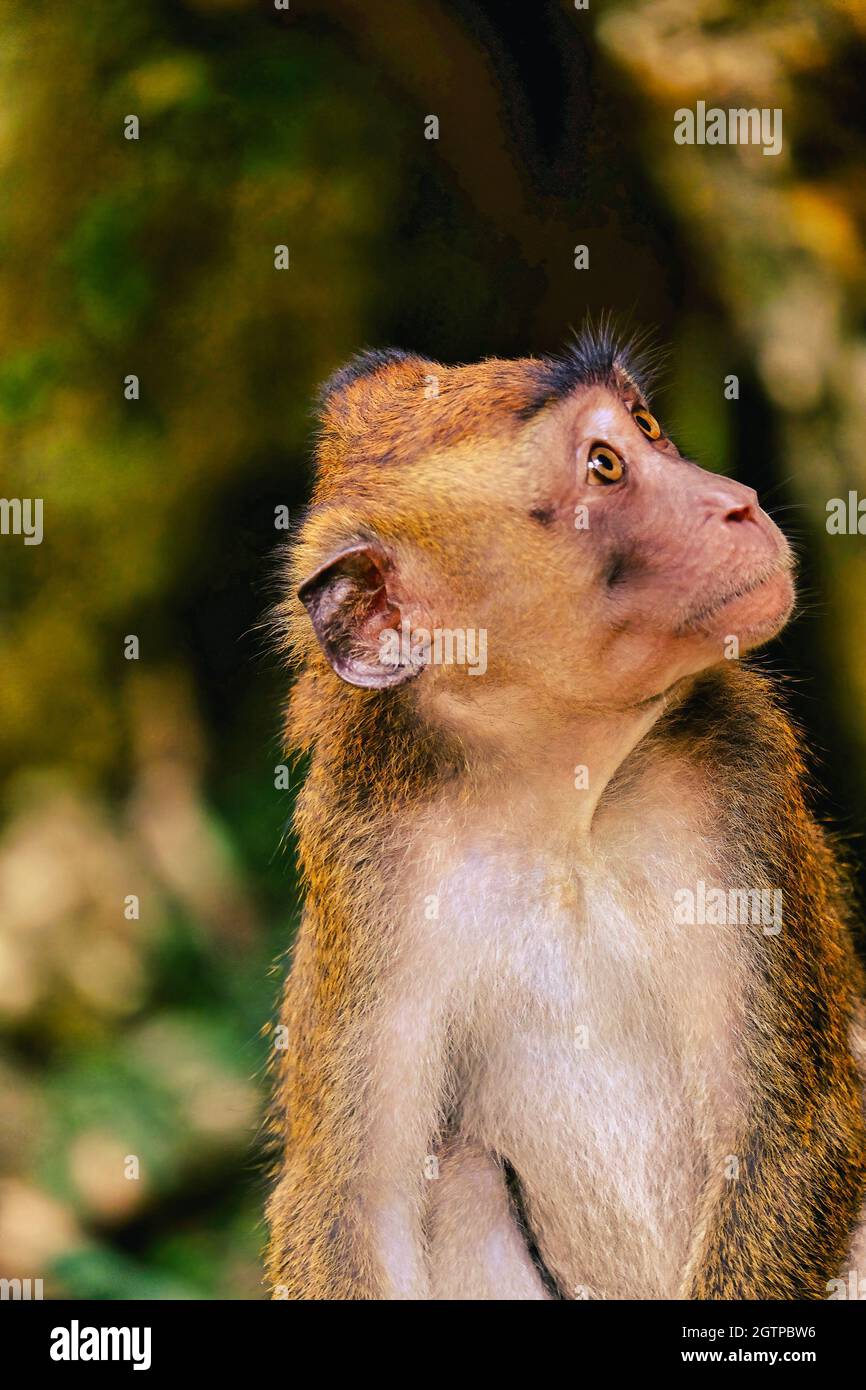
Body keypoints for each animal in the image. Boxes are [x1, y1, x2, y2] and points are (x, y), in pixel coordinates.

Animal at [265, 325, 866, 1300]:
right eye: (604, 466)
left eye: (647, 427)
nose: (736, 504)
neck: (558, 803)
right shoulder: (371, 865)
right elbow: (359, 1205)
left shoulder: (738, 781)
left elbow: (785, 1132)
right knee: (456, 1173)